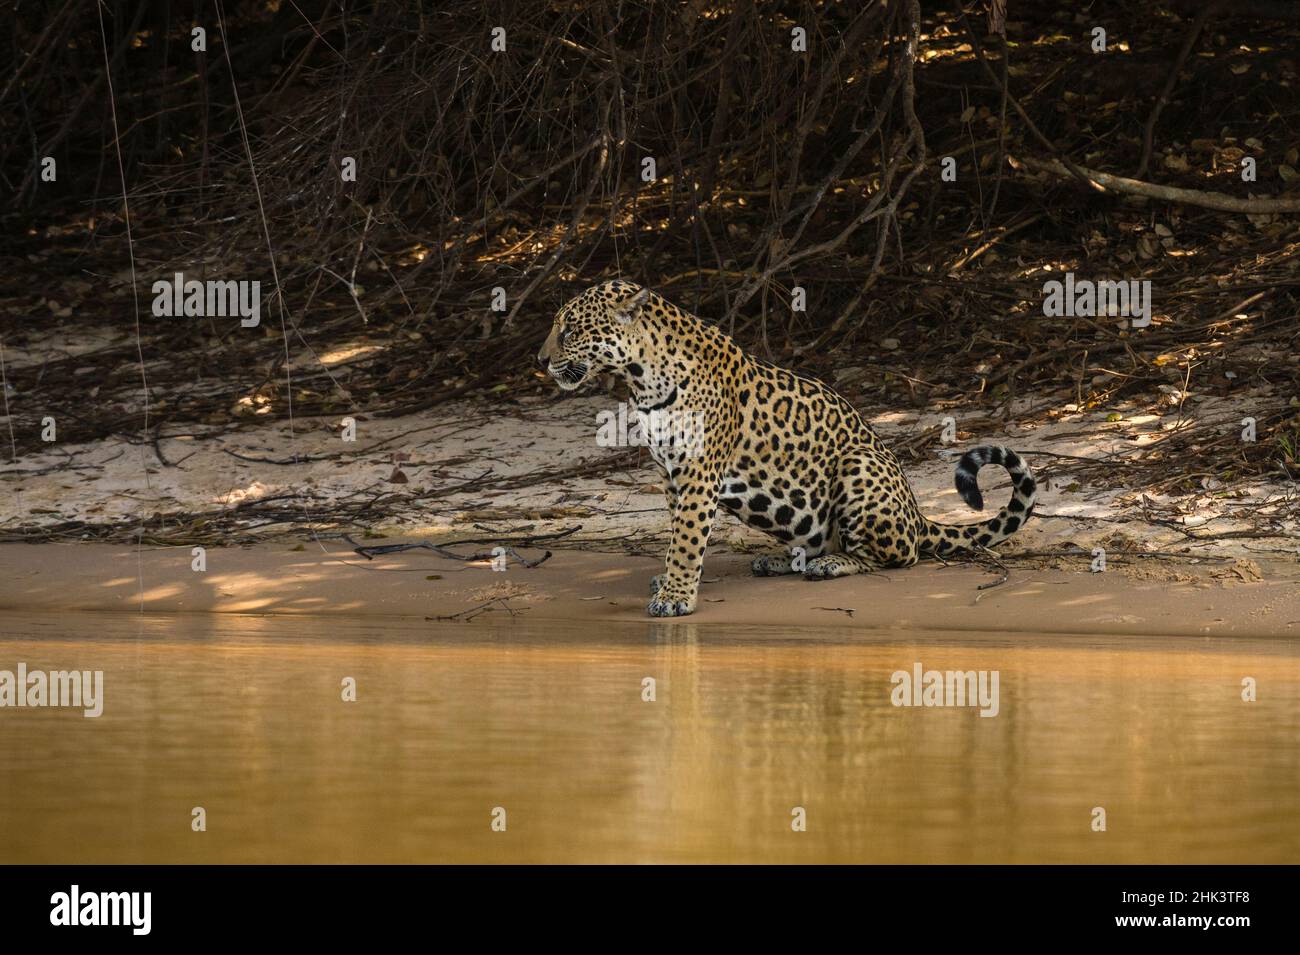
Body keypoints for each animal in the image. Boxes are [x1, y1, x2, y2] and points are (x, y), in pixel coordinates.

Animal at [536, 279, 1037, 617]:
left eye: (569, 331)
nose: (540, 360)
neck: (641, 378)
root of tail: (917, 514)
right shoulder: (669, 471)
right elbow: (679, 531)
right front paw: (670, 580)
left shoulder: (698, 470)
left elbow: (688, 535)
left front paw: (676, 596)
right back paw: (780, 559)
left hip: (859, 465)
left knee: (901, 555)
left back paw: (832, 564)